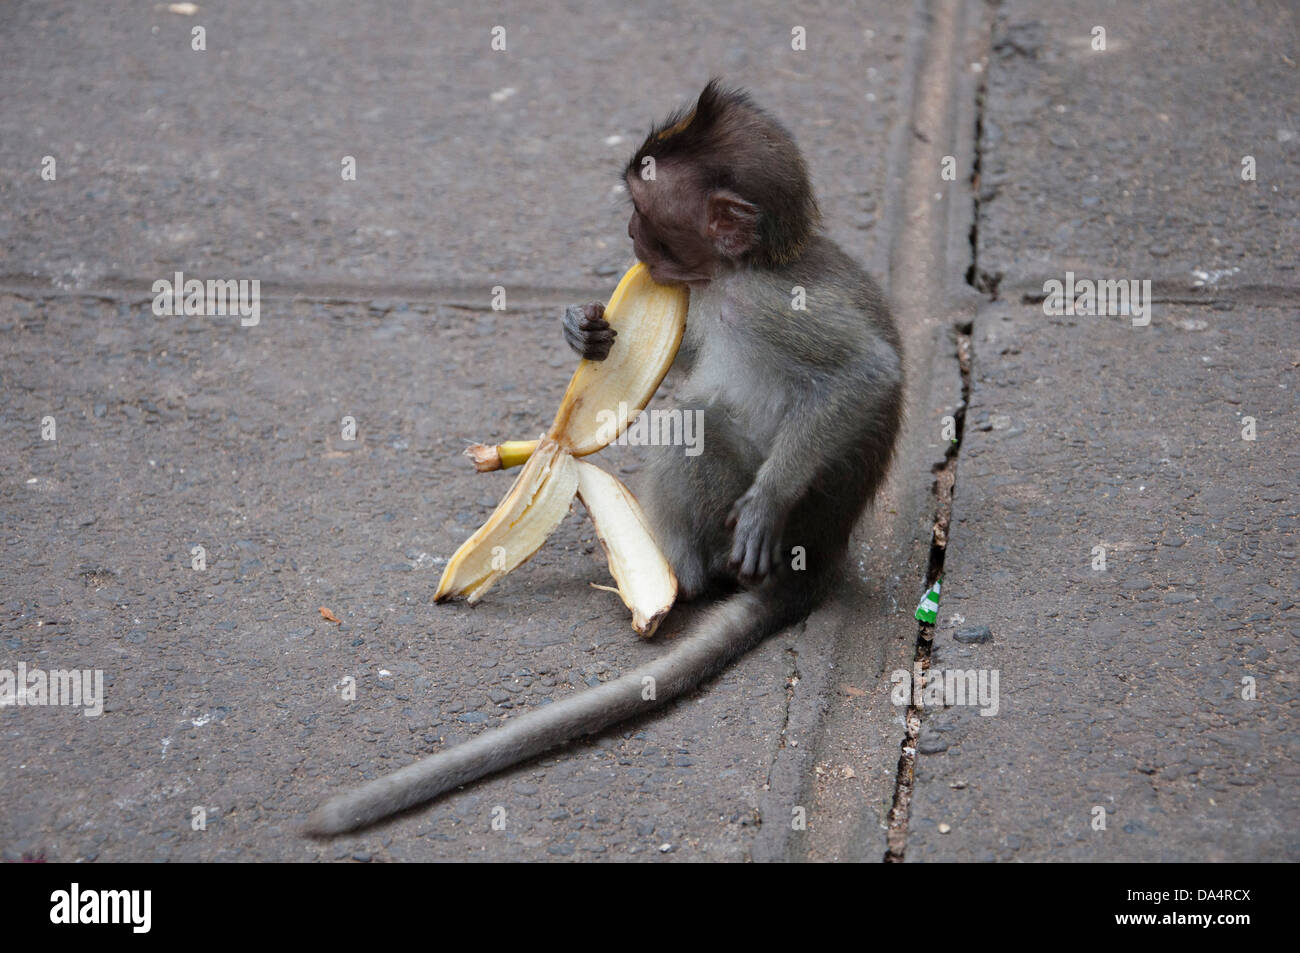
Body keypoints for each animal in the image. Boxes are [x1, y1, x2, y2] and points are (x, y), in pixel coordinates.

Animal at [305, 80, 903, 836]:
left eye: (644, 211)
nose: (627, 237)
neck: (738, 272)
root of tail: (823, 554)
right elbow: (682, 352)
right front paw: (582, 330)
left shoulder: (776, 303)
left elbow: (865, 374)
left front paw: (765, 506)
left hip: (781, 525)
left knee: (697, 425)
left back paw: (678, 572)